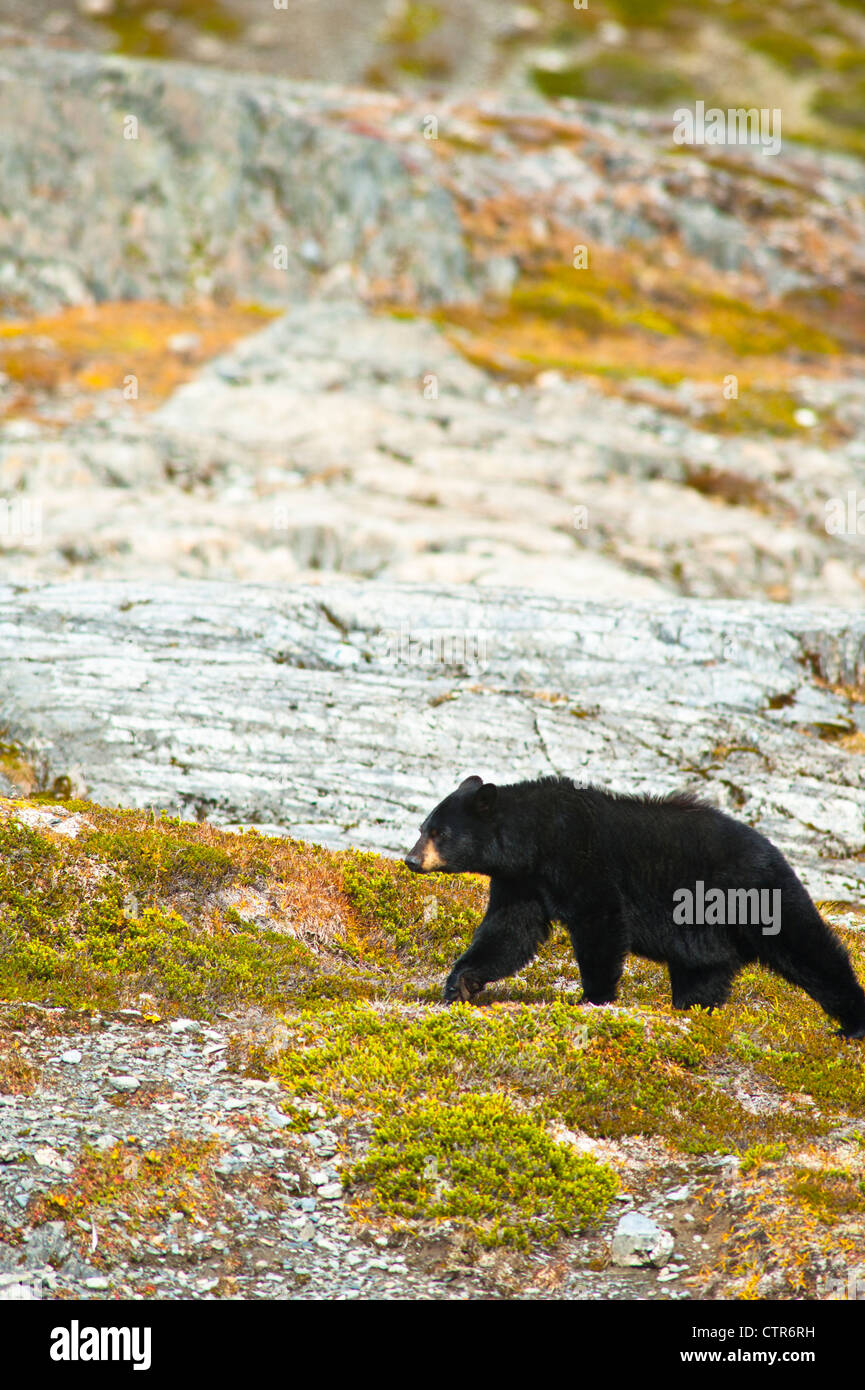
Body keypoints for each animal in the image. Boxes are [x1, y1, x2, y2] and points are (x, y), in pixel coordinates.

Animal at [404, 775, 865, 1040]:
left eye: (439, 832)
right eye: (423, 827)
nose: (411, 859)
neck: (534, 839)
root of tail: (774, 849)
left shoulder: (580, 859)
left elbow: (599, 921)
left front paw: (594, 996)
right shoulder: (523, 882)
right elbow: (509, 932)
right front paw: (461, 983)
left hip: (756, 895)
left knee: (809, 948)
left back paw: (852, 1024)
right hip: (705, 934)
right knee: (704, 973)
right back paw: (695, 1009)